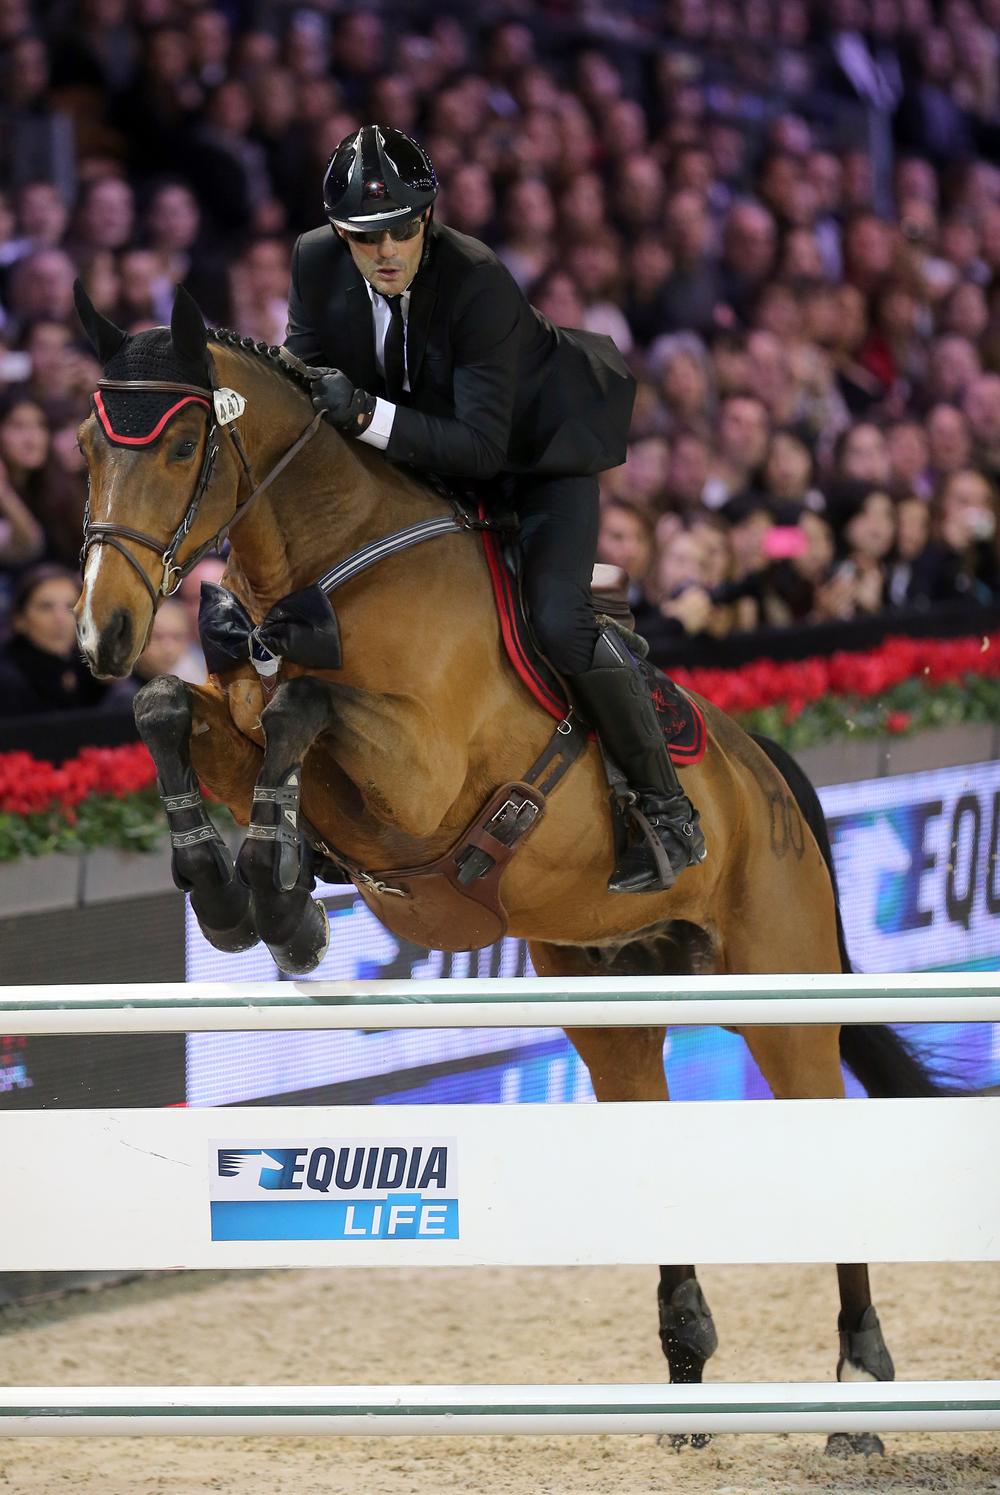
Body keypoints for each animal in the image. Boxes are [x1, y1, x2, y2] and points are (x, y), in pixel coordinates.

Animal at [72, 283, 935, 1457]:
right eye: (85, 446)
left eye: (178, 444)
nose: (102, 635)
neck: (327, 569)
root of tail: (764, 767)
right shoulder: (256, 730)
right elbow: (178, 709)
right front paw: (242, 893)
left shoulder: (419, 771)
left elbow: (305, 708)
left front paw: (275, 893)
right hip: (612, 1008)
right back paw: (688, 1382)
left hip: (782, 992)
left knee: (834, 1147)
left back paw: (856, 1387)